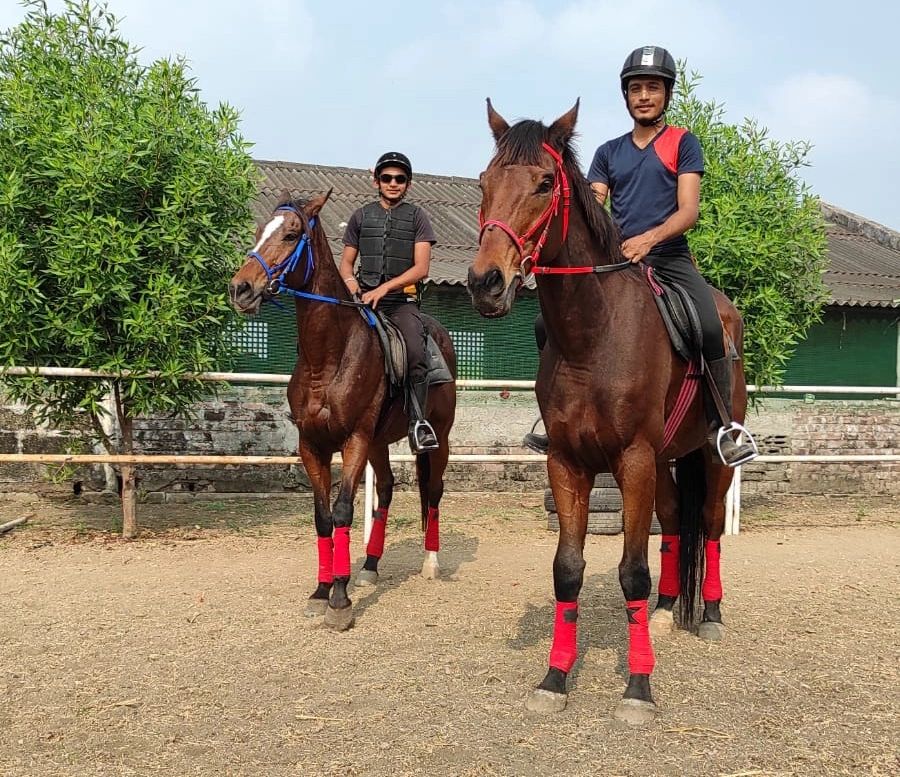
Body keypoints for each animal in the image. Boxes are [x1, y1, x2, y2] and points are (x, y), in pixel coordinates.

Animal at [229, 191, 457, 630]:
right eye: (259, 231)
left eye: (291, 234)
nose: (240, 288)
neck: (327, 358)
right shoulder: (312, 446)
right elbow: (321, 517)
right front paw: (321, 591)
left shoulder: (354, 441)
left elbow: (342, 511)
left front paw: (339, 598)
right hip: (379, 444)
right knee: (386, 489)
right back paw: (369, 564)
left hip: (437, 437)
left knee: (434, 492)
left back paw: (431, 563)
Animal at [467, 100, 746, 724]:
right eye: (484, 182)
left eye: (546, 184)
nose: (485, 282)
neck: (593, 337)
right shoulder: (568, 463)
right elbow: (568, 570)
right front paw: (554, 679)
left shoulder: (632, 460)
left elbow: (631, 572)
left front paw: (638, 689)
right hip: (664, 461)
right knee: (675, 519)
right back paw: (667, 610)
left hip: (711, 456)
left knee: (710, 521)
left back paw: (711, 616)